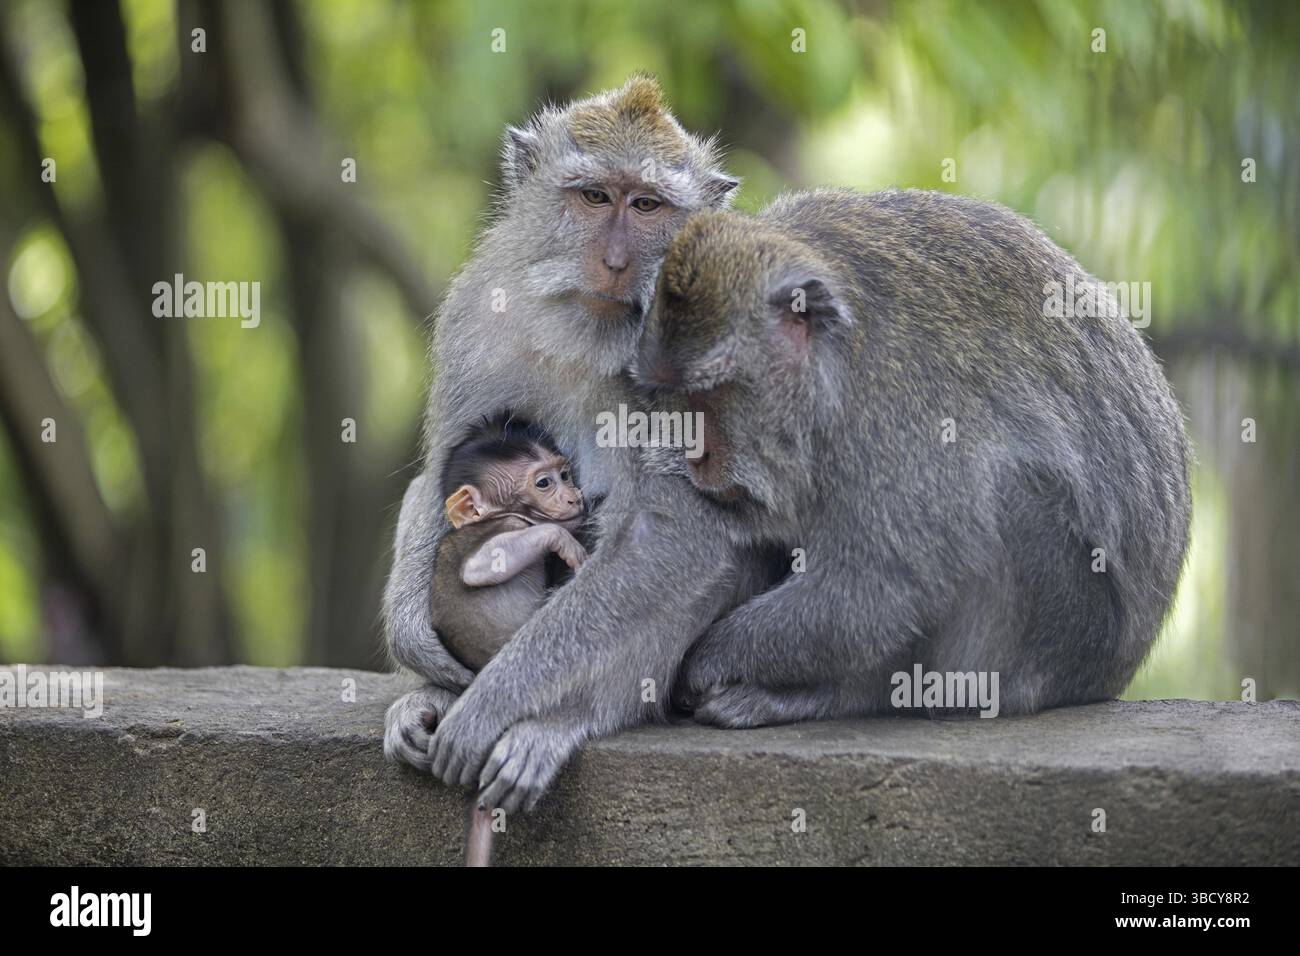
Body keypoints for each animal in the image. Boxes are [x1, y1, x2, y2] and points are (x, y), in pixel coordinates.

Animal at [431, 414, 587, 672]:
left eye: (565, 475)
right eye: (543, 483)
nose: (573, 498)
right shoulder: (511, 523)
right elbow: (477, 568)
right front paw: (561, 538)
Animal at [631, 187, 1192, 726]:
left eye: (712, 395)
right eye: (679, 398)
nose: (700, 457)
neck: (834, 359)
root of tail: (1110, 676)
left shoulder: (896, 409)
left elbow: (881, 588)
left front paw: (710, 661)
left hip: (1063, 645)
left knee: (1005, 499)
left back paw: (838, 696)